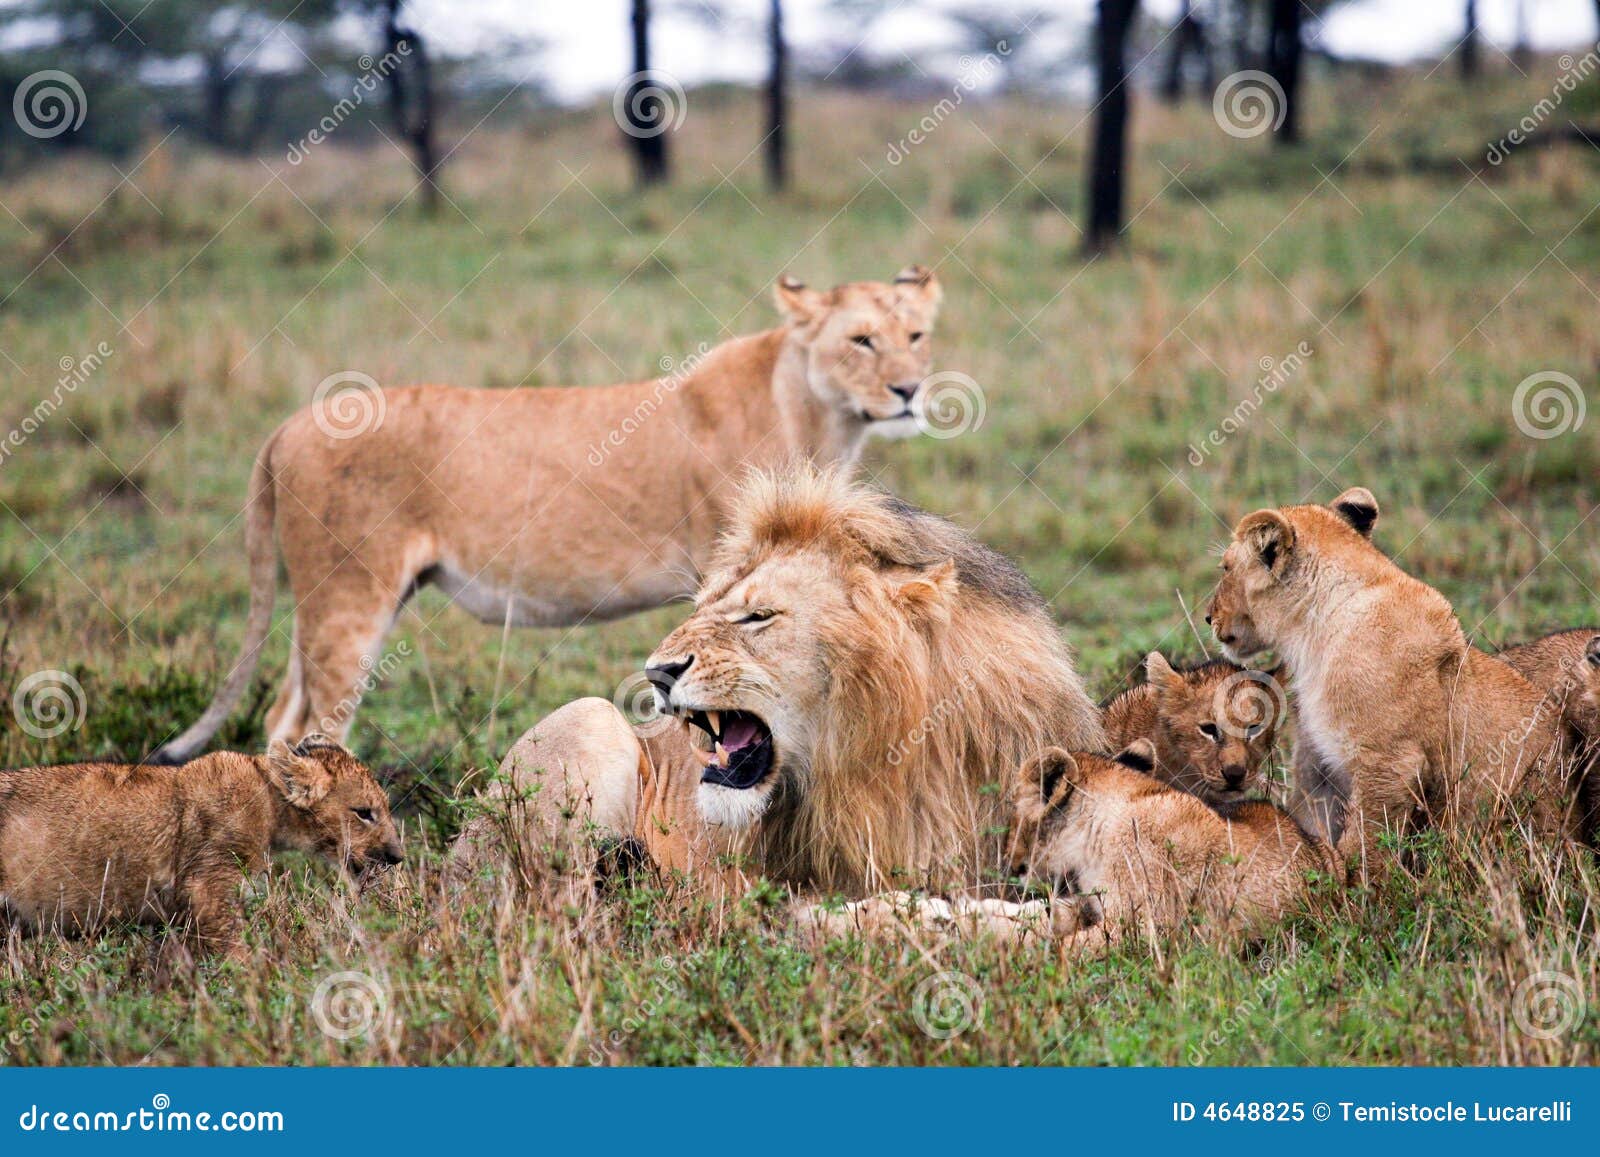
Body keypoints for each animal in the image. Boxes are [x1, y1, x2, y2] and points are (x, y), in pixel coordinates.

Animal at [153, 267, 947, 764]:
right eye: (861, 340)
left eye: (916, 336)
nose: (909, 391)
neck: (821, 416)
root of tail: (288, 426)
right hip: (351, 598)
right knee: (316, 729)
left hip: (324, 598)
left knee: (280, 722)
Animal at [1210, 486, 1569, 867]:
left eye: (1226, 568)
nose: (1207, 617)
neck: (1313, 633)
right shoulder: (1318, 766)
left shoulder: (1391, 763)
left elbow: (1365, 848)